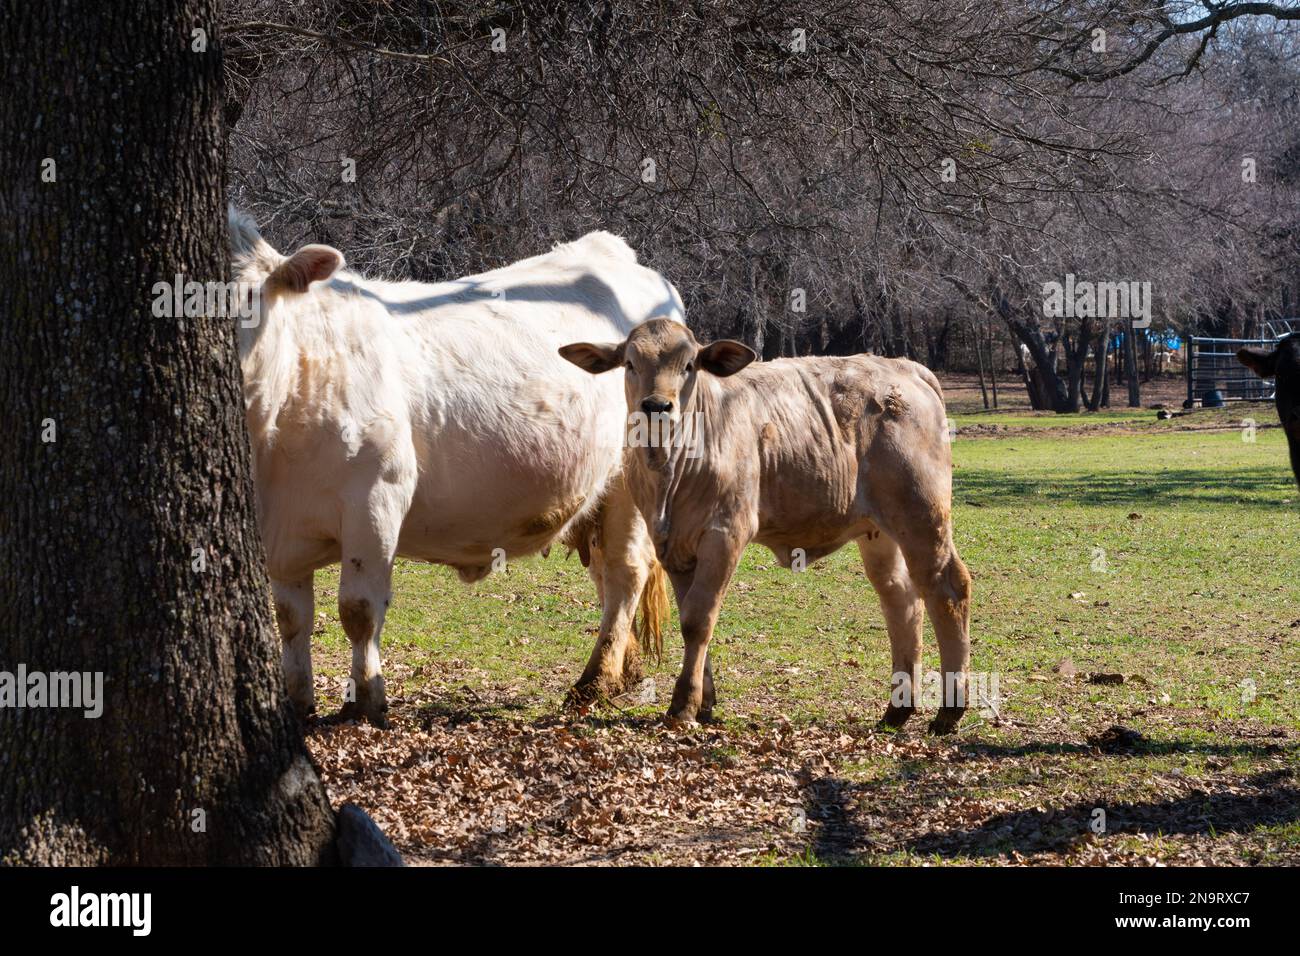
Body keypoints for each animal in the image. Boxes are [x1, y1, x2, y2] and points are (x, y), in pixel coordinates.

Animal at [229, 208, 681, 726]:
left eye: (252, 297)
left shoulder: (376, 498)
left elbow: (358, 610)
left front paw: (367, 701)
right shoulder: (283, 532)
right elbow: (291, 619)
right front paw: (297, 702)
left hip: (634, 477)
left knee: (627, 573)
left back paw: (595, 681)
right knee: (606, 572)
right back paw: (623, 673)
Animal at [560, 319, 974, 733]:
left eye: (689, 365)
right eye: (630, 363)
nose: (657, 406)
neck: (670, 474)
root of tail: (904, 367)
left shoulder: (725, 533)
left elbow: (698, 619)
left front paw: (683, 706)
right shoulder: (673, 546)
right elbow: (688, 616)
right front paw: (704, 702)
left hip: (922, 514)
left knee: (947, 588)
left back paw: (950, 709)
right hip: (880, 531)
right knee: (900, 597)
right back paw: (898, 709)